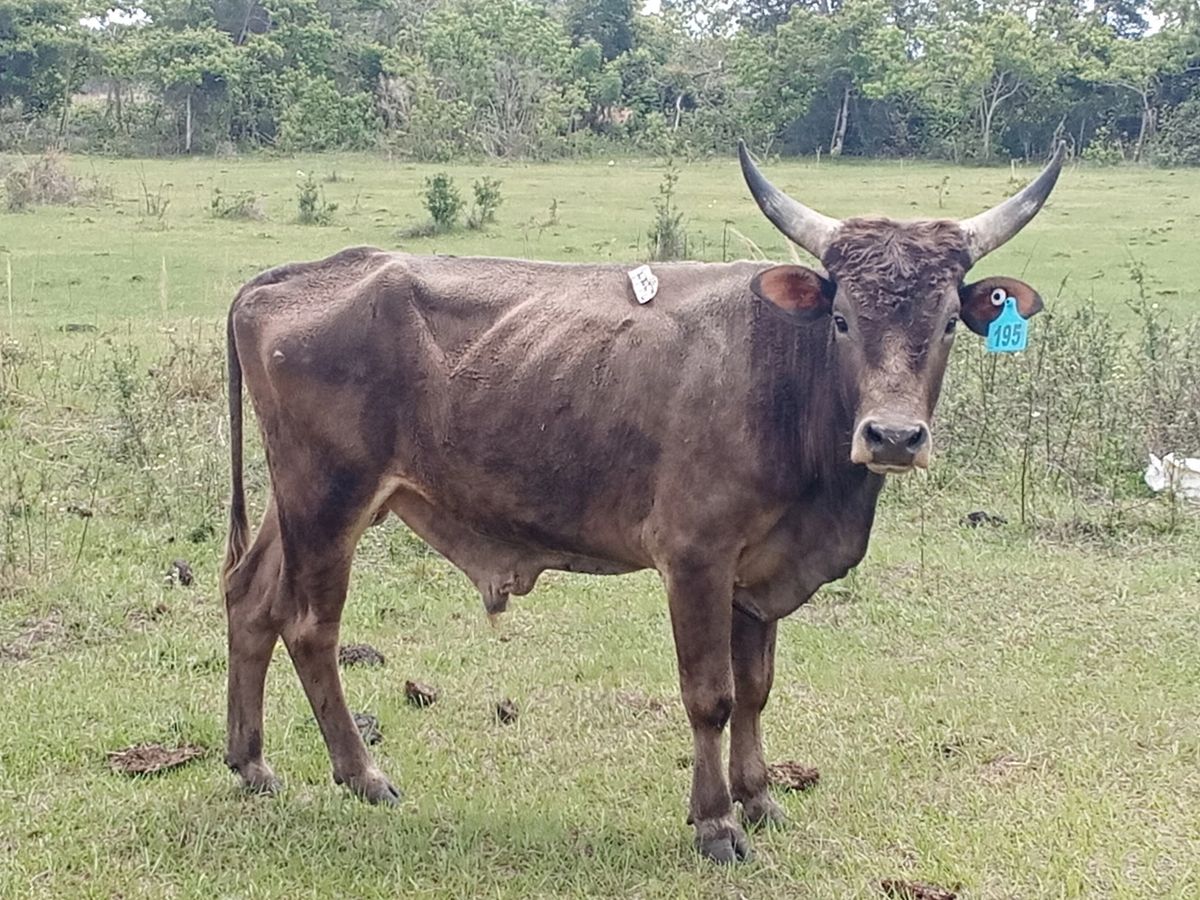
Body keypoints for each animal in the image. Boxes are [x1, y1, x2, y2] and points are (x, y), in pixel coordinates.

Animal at [221, 142, 1064, 863]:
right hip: (328, 498)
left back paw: (250, 762)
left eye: (949, 321)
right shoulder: (695, 558)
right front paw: (717, 822)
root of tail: (289, 277)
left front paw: (760, 797)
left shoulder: (757, 576)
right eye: (843, 318)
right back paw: (361, 774)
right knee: (310, 627)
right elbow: (712, 696)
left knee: (250, 599)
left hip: (299, 503)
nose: (893, 435)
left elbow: (756, 690)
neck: (785, 380)